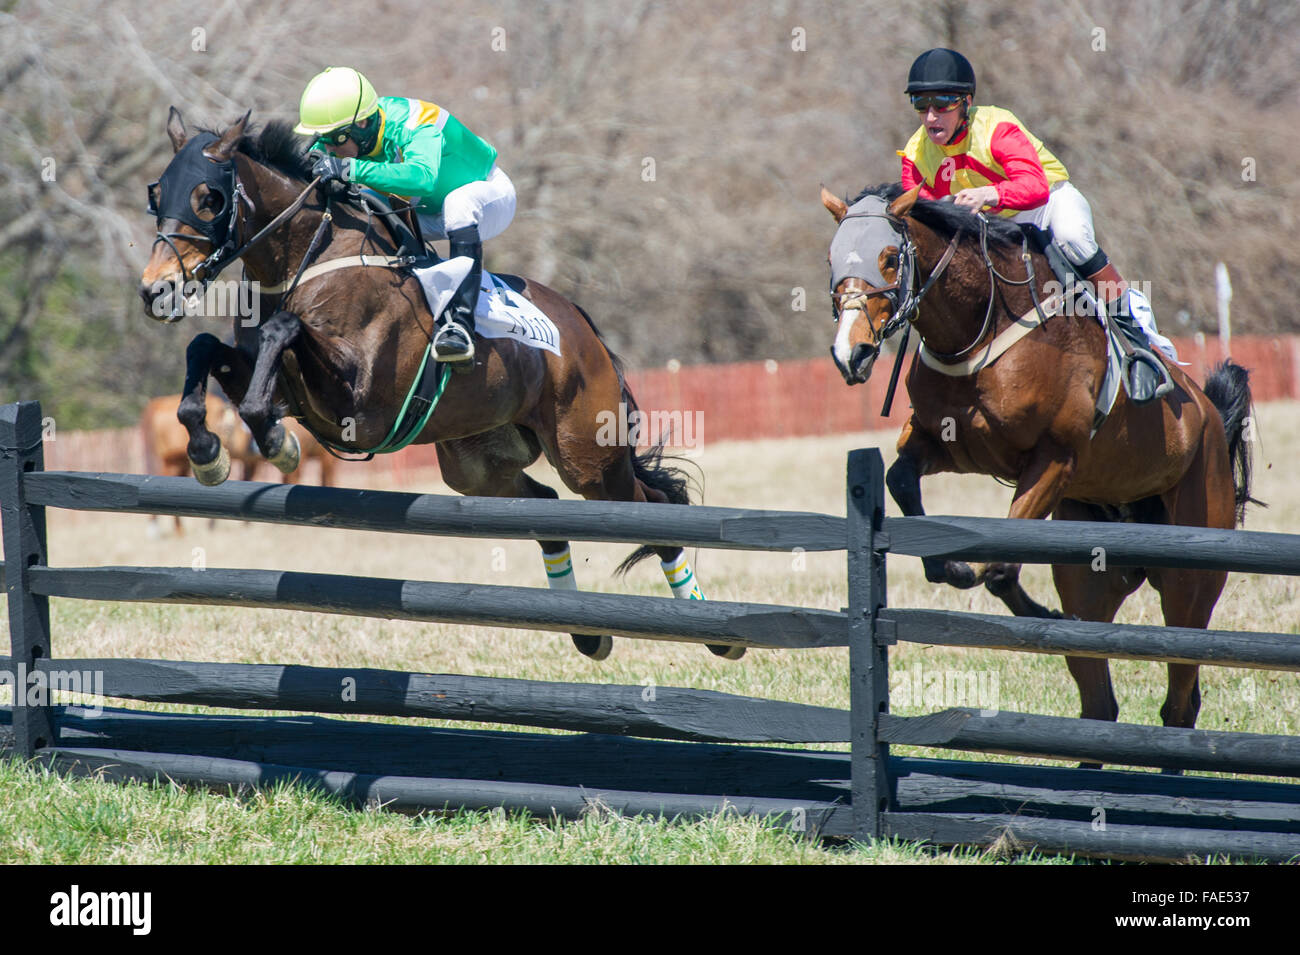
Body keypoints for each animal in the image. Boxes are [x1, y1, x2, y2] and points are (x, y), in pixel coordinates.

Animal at [138, 107, 740, 661]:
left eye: (209, 198)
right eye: (157, 194)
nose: (155, 290)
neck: (309, 258)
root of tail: (581, 328)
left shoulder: (358, 405)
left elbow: (282, 334)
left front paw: (276, 443)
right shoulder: (279, 383)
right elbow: (205, 350)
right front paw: (207, 451)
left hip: (587, 458)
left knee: (653, 507)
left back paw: (712, 631)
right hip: (476, 466)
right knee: (545, 509)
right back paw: (586, 630)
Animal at [822, 182, 1256, 741]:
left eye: (890, 258)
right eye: (831, 260)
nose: (849, 355)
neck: (979, 328)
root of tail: (1207, 415)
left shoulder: (1053, 459)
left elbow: (1002, 563)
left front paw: (1016, 598)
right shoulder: (945, 444)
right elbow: (900, 482)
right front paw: (948, 565)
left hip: (1190, 582)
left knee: (1180, 694)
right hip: (1095, 573)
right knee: (1101, 700)